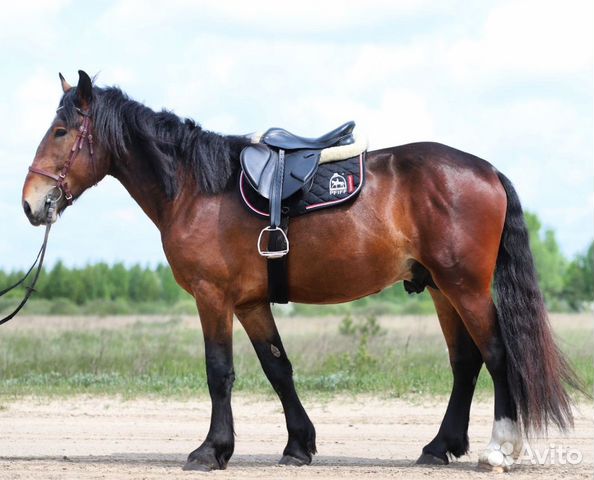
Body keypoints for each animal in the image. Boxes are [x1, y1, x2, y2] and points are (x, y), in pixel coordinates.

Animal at [19, 71, 580, 472]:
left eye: (61, 131)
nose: (31, 204)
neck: (197, 188)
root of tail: (486, 170)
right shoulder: (250, 302)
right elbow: (277, 368)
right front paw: (298, 444)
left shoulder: (212, 297)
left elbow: (219, 371)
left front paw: (211, 451)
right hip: (442, 289)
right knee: (465, 362)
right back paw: (439, 447)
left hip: (466, 287)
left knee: (497, 354)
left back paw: (498, 449)